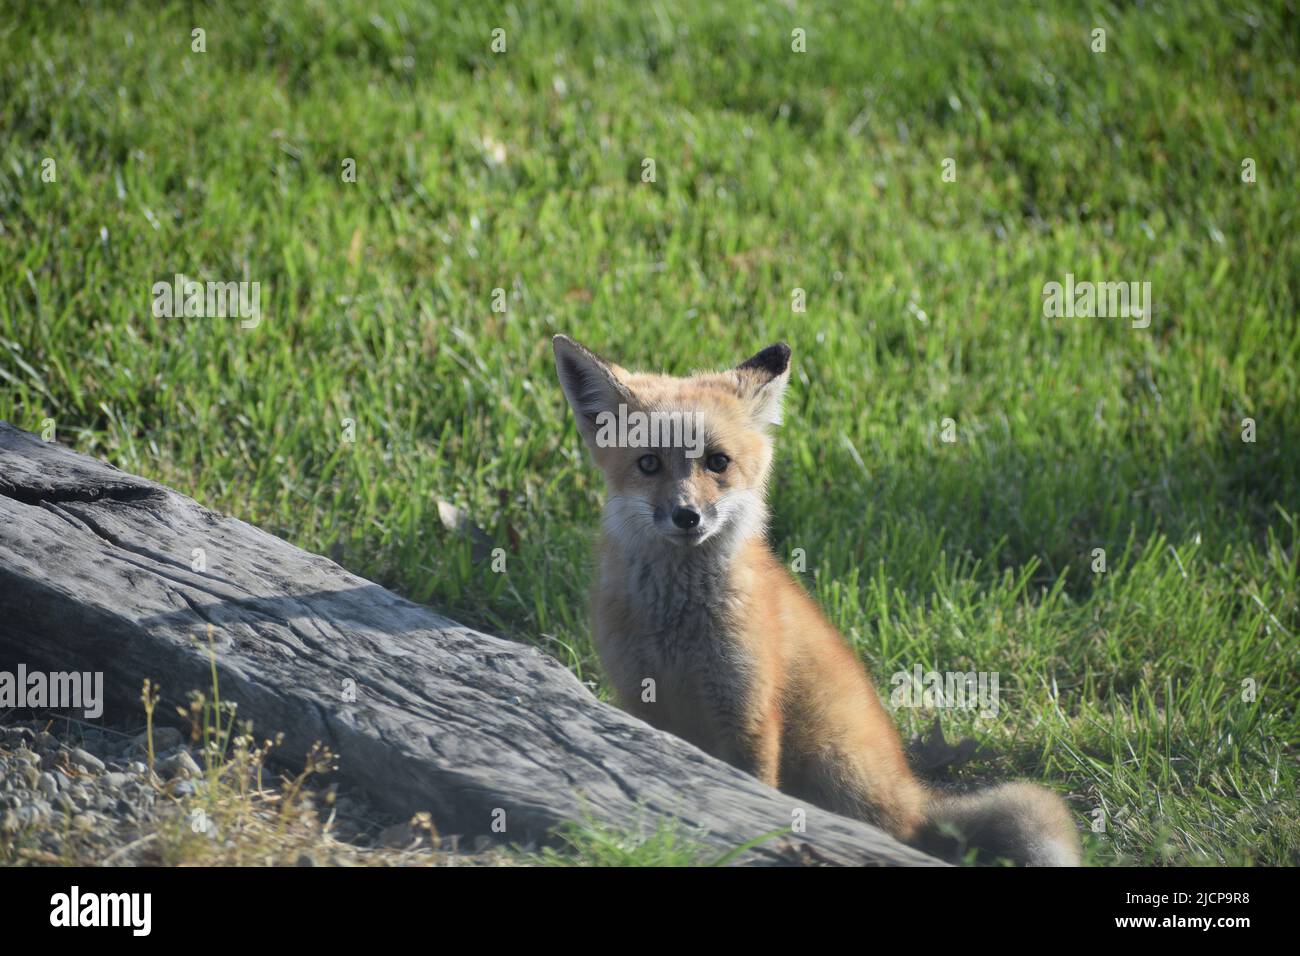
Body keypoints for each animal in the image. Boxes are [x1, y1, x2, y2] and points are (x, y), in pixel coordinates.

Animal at [552, 333, 1082, 866]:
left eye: (717, 462)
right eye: (648, 464)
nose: (688, 516)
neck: (676, 628)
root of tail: (911, 791)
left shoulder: (748, 713)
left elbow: (756, 790)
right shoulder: (639, 703)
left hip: (833, 763)